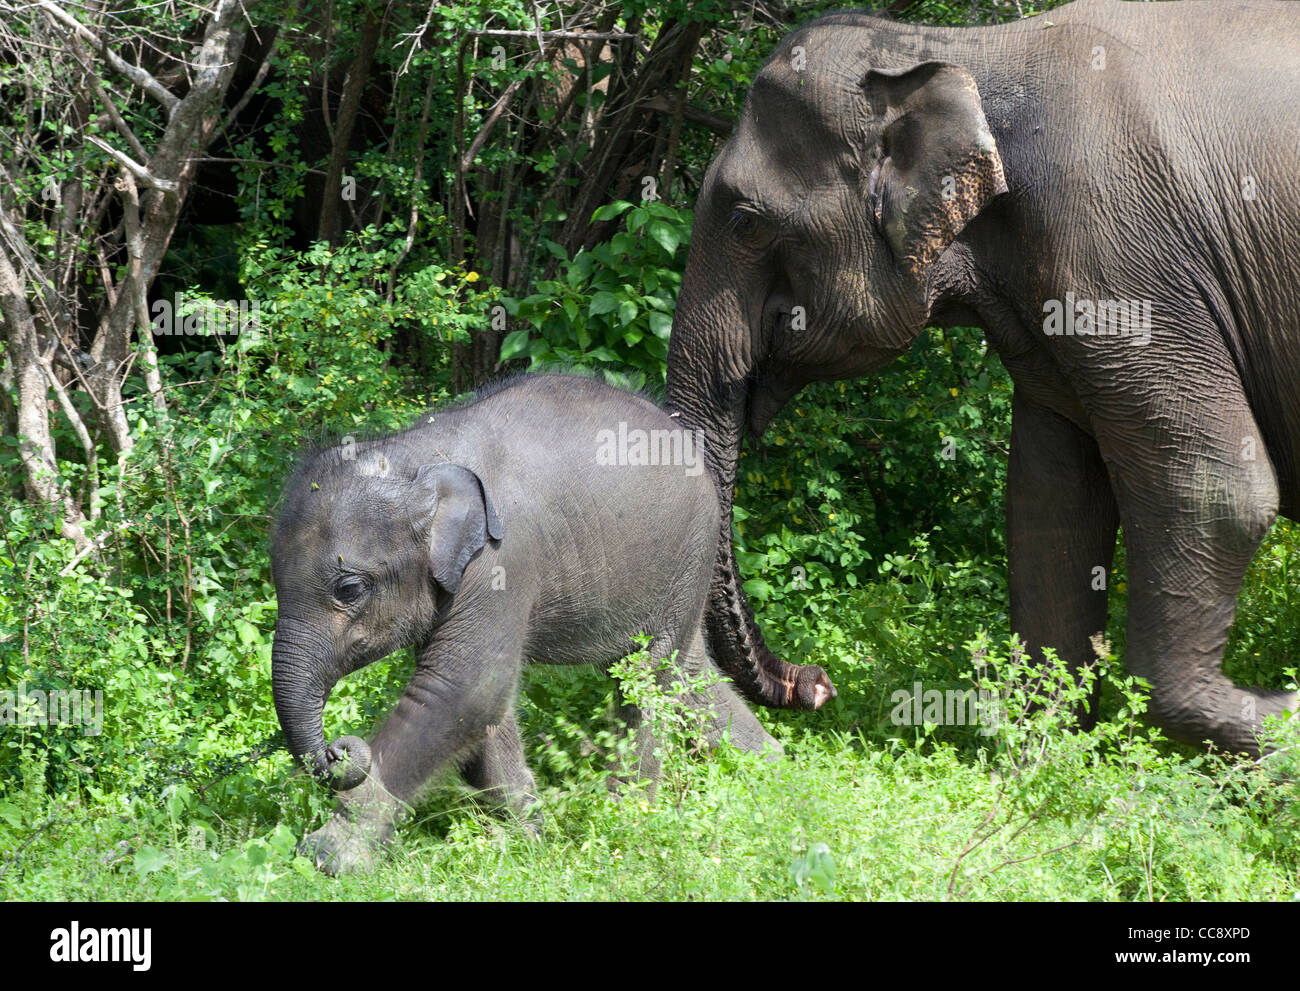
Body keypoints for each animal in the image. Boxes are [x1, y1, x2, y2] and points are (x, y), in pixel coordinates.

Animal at [270, 373, 778, 874]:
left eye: (349, 588)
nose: (337, 750)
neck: (417, 456)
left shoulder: (502, 559)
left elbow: (464, 689)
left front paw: (326, 857)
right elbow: (483, 709)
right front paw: (530, 838)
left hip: (690, 550)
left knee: (644, 680)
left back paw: (627, 823)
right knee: (687, 673)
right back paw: (770, 776)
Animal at [664, 0, 1300, 755]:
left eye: (744, 221)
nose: (816, 682)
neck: (963, 52)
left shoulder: (1125, 258)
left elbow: (1215, 490)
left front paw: (1283, 717)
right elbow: (1049, 502)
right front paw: (1045, 757)